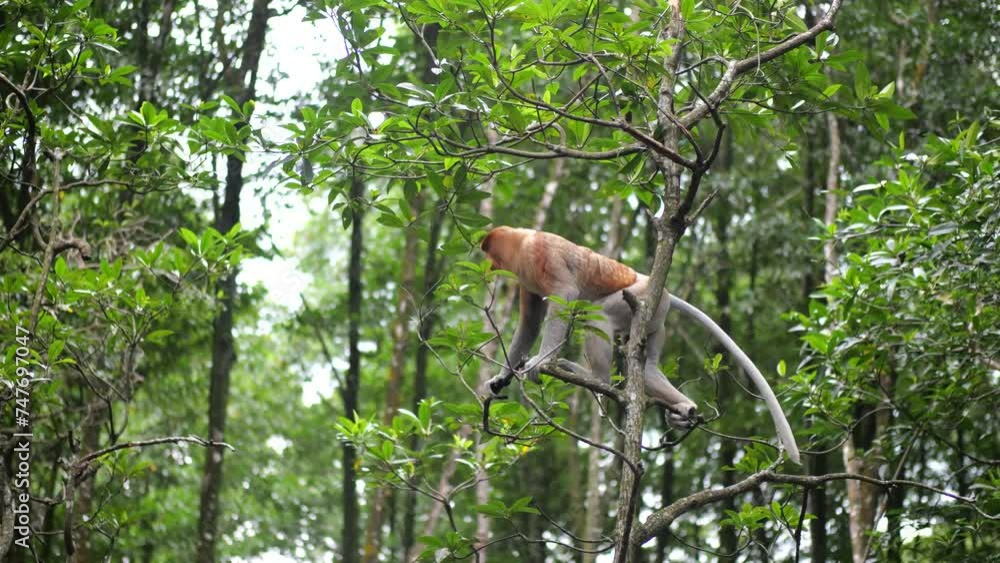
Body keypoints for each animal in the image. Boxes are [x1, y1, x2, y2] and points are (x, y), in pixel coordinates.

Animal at [480, 226, 801, 465]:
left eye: (491, 253)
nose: (491, 268)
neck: (522, 242)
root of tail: (659, 287)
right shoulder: (526, 279)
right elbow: (529, 323)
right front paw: (499, 379)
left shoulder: (540, 253)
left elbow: (565, 296)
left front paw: (538, 363)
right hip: (657, 319)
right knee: (648, 369)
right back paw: (684, 408)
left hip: (640, 299)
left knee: (598, 315)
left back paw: (594, 379)